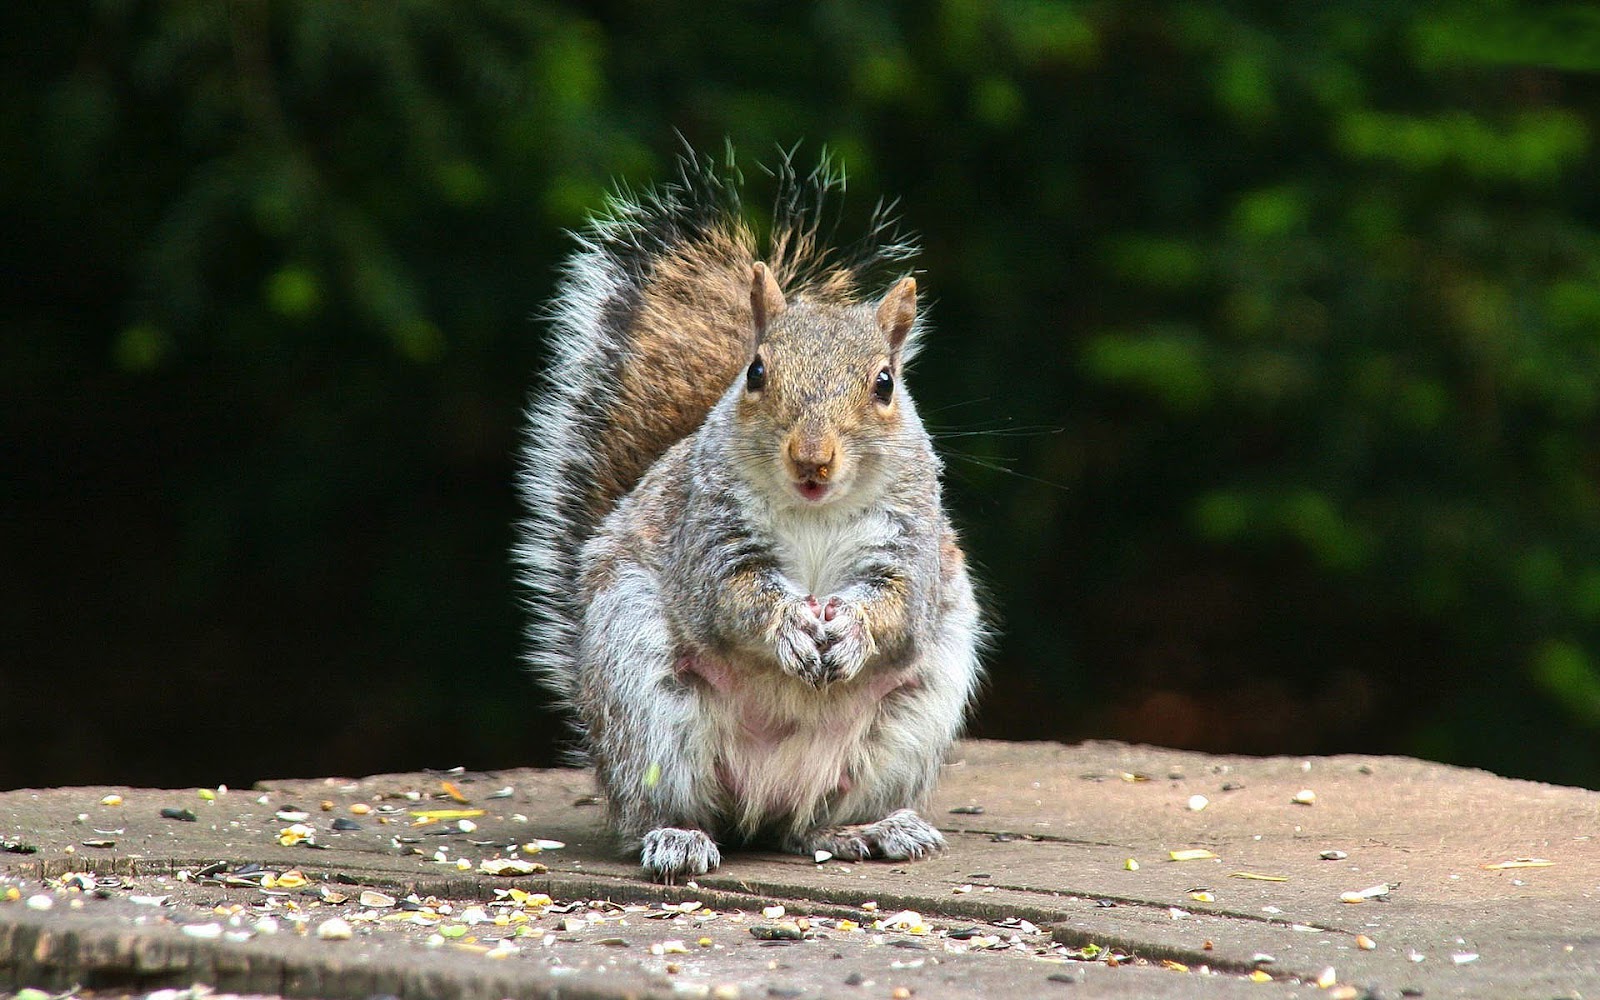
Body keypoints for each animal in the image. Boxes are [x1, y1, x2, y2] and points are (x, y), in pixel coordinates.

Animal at [514, 152, 985, 883]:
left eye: (885, 384)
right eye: (756, 372)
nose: (812, 459)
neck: (814, 512)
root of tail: (765, 796)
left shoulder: (911, 546)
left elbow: (899, 610)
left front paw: (849, 631)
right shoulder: (709, 534)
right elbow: (732, 598)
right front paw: (790, 626)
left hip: (906, 723)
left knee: (804, 826)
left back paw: (871, 828)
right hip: (646, 705)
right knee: (669, 808)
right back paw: (677, 838)